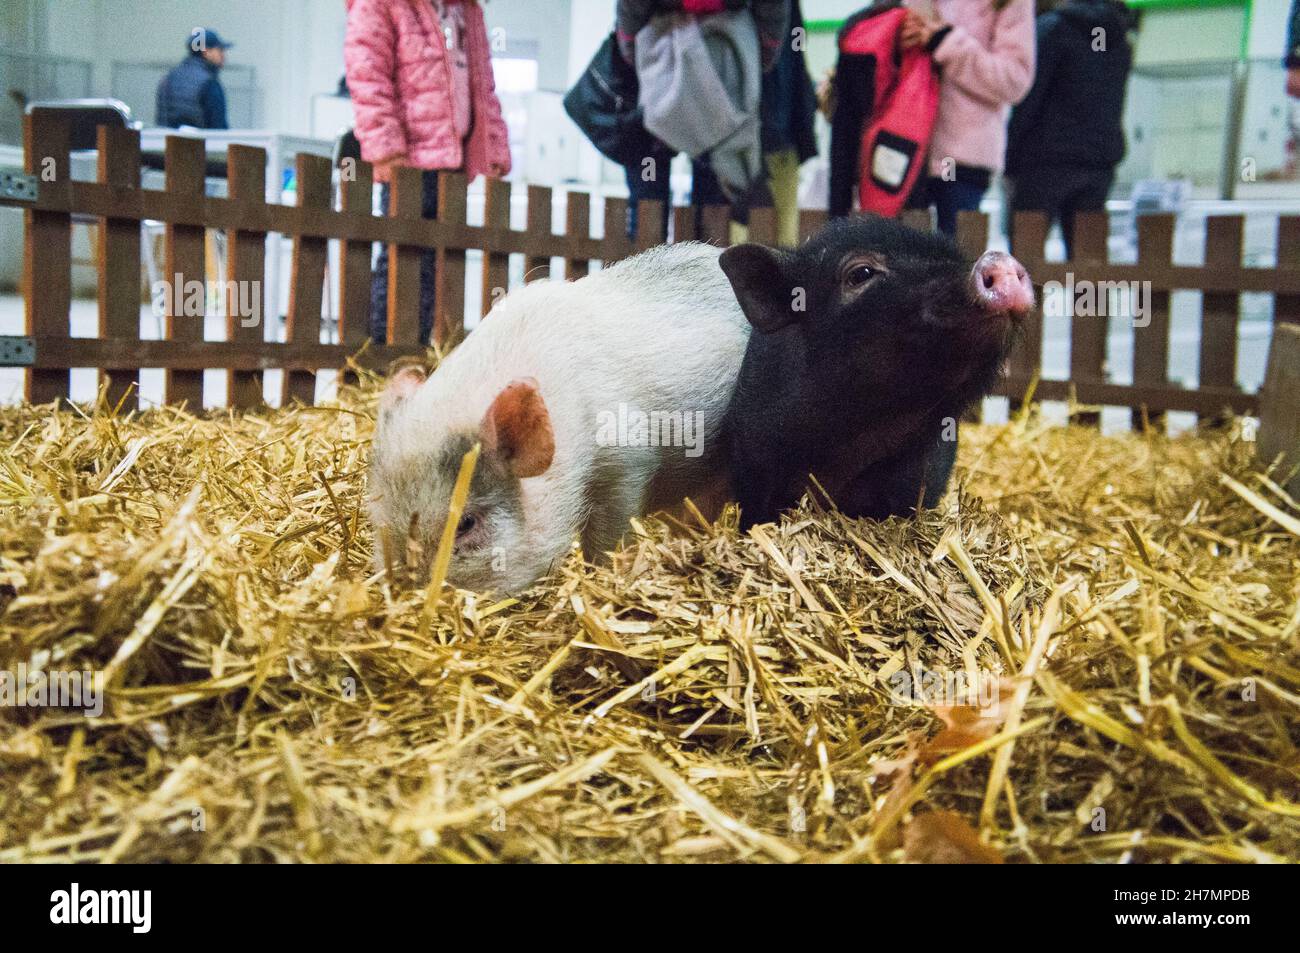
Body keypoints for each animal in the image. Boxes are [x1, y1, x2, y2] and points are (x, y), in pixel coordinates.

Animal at [368, 242, 751, 594]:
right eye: (380, 514)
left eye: (466, 523)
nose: (412, 590)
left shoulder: (627, 462)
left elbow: (609, 534)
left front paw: (603, 573)